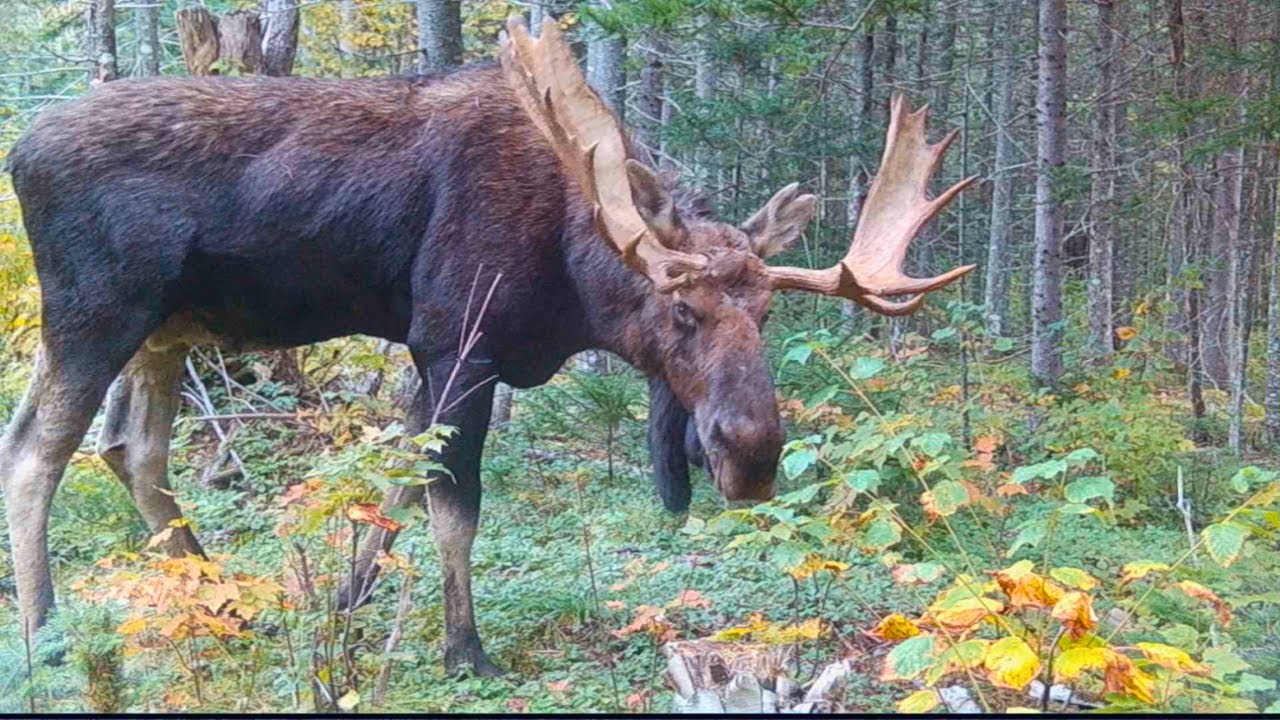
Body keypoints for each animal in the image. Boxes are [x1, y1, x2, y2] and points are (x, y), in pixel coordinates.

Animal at [0, 17, 973, 676]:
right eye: (682, 313)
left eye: (767, 313)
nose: (754, 452)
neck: (574, 275)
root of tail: (18, 152)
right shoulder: (456, 345)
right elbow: (454, 507)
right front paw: (463, 647)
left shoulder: (435, 360)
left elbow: (396, 490)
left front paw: (346, 609)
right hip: (96, 309)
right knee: (38, 454)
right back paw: (48, 631)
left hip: (166, 329)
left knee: (131, 449)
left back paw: (227, 607)